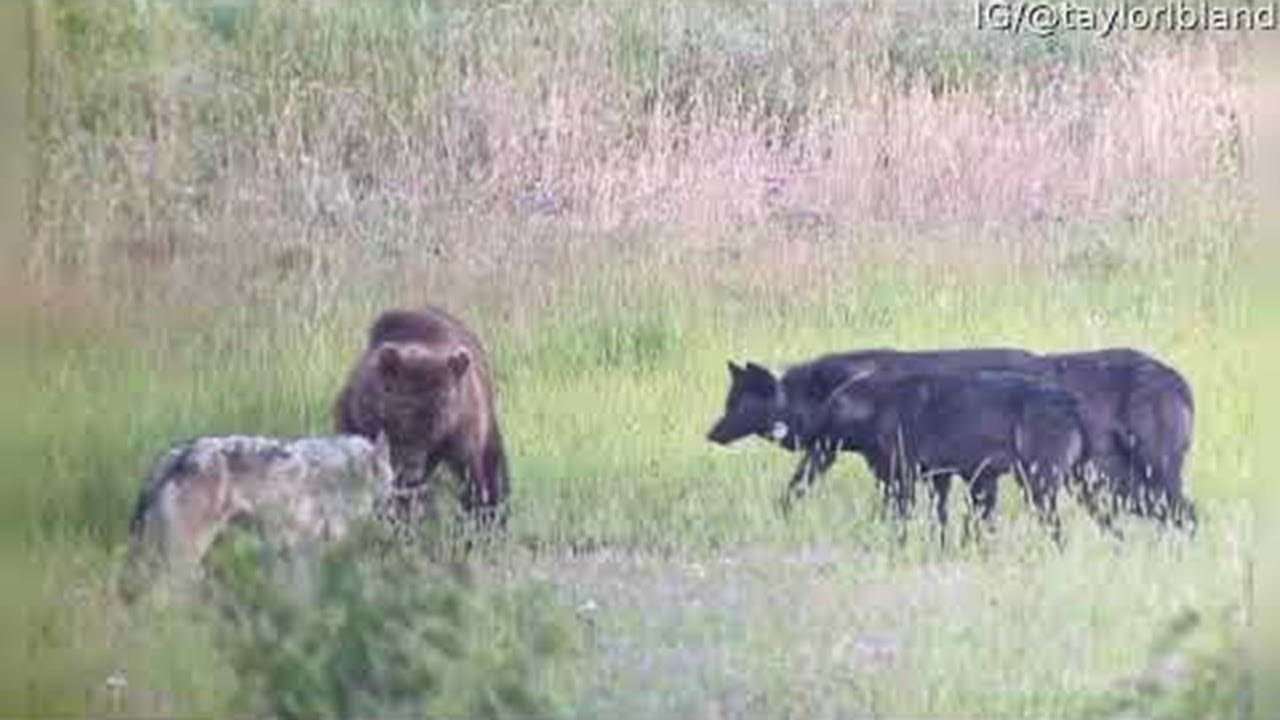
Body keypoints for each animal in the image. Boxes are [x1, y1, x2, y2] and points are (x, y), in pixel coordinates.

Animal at [119, 433, 393, 603]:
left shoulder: (289, 555)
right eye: (391, 481)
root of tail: (177, 456)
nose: (393, 503)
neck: (347, 474)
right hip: (182, 558)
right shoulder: (306, 550)